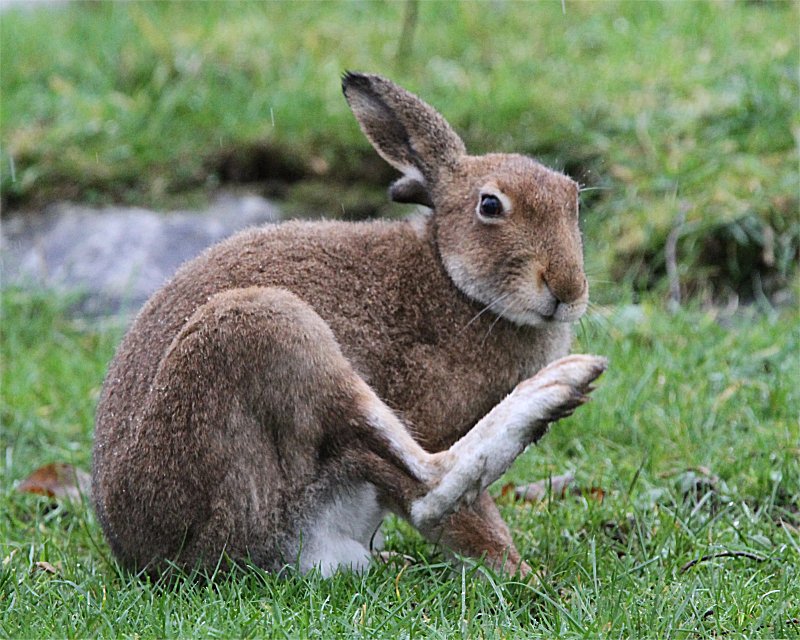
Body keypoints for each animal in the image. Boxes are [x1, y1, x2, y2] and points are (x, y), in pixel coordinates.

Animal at [91, 72, 607, 579]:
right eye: (491, 205)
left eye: (573, 201)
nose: (567, 289)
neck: (451, 279)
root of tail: (156, 559)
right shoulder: (424, 413)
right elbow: (457, 511)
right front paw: (514, 569)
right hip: (263, 329)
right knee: (430, 482)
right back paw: (561, 387)